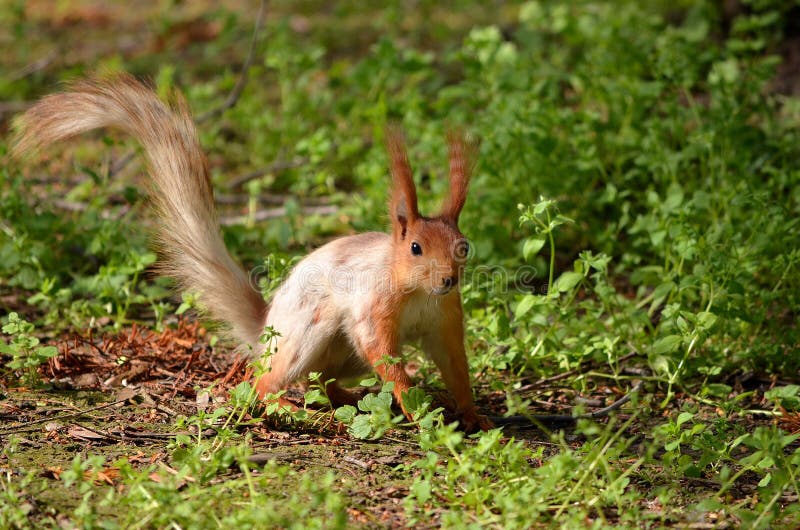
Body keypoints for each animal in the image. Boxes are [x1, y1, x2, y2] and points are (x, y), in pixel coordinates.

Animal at [12, 74, 493, 433]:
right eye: (414, 248)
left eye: (463, 246)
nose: (448, 279)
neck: (418, 294)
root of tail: (264, 331)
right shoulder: (373, 308)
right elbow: (384, 353)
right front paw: (417, 406)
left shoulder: (445, 322)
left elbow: (456, 366)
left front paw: (472, 414)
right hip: (310, 329)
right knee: (264, 387)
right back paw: (300, 413)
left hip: (342, 358)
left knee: (326, 383)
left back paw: (349, 400)